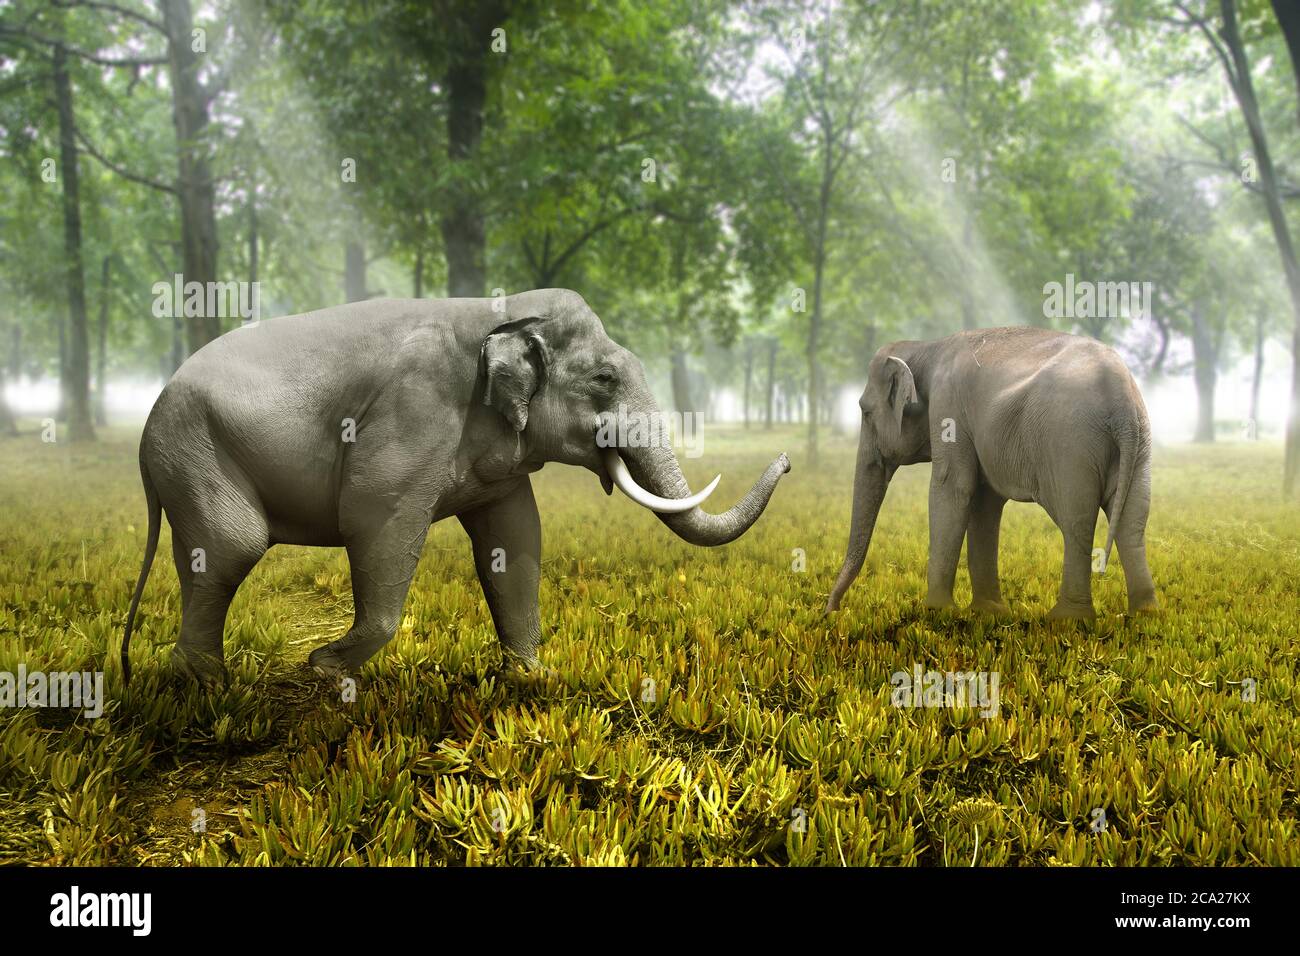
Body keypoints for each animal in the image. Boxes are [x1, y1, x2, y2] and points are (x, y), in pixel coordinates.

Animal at [121, 289, 790, 684]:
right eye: (604, 378)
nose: (785, 459)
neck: (502, 309)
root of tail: (148, 423)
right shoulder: (412, 412)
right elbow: (374, 518)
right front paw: (325, 670)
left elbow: (516, 537)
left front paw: (532, 677)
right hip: (197, 449)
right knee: (233, 546)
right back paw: (208, 687)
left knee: (203, 557)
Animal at [826, 326, 1156, 619]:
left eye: (865, 412)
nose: (832, 610)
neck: (928, 347)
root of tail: (1121, 402)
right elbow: (984, 502)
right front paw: (988, 611)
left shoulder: (949, 409)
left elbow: (952, 487)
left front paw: (937, 611)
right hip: (1139, 446)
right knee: (1132, 522)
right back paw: (1143, 613)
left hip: (1070, 445)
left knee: (1077, 521)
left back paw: (1067, 619)